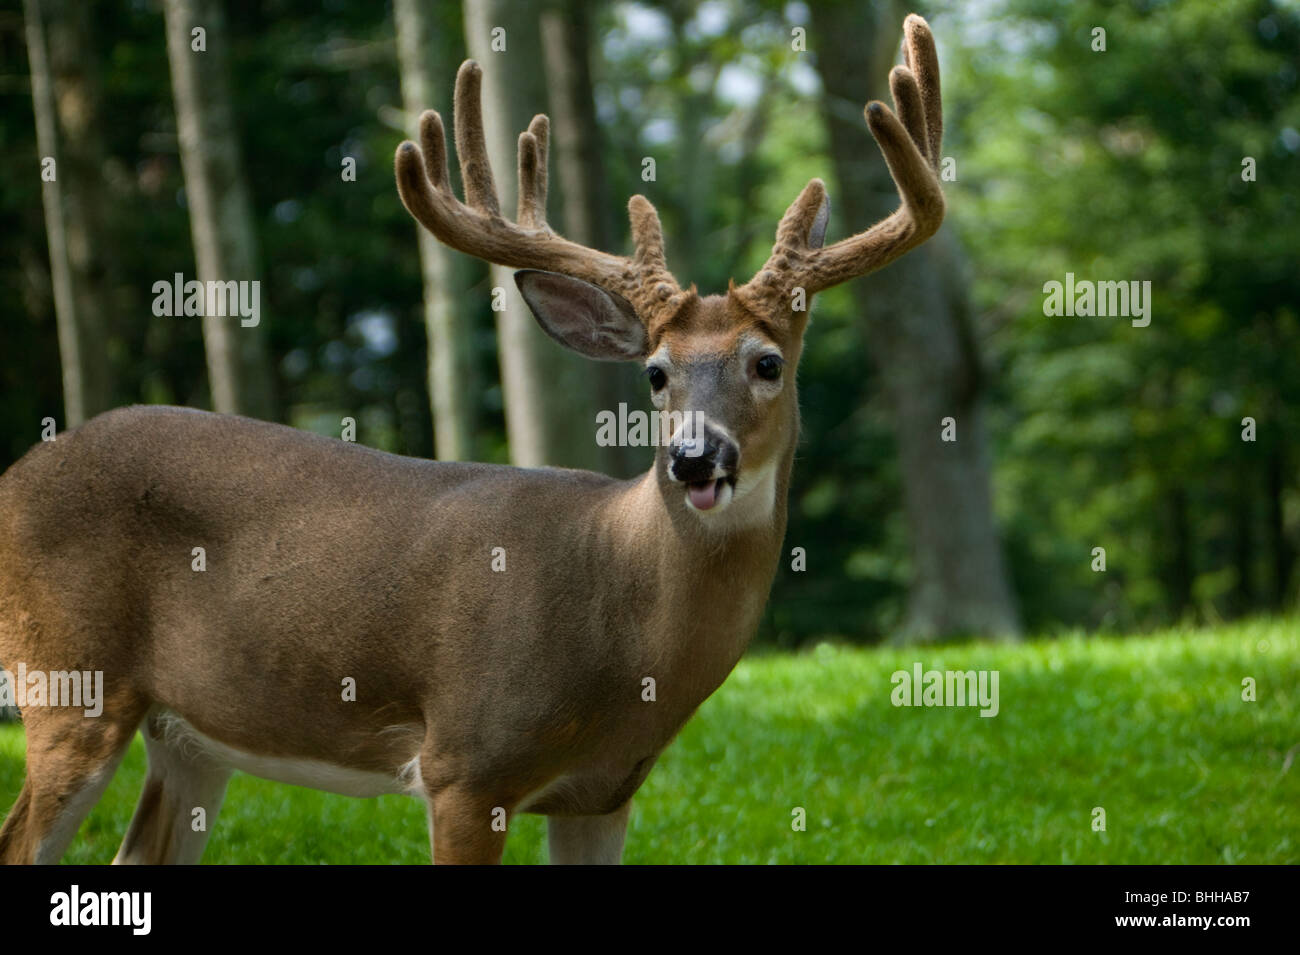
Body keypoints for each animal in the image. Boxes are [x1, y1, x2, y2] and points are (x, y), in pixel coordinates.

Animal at [0, 14, 945, 864]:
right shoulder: (464, 763)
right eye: (656, 372)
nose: (693, 459)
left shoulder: (604, 792)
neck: (619, 617)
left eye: (767, 363)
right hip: (69, 679)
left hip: (190, 734)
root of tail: (16, 472)